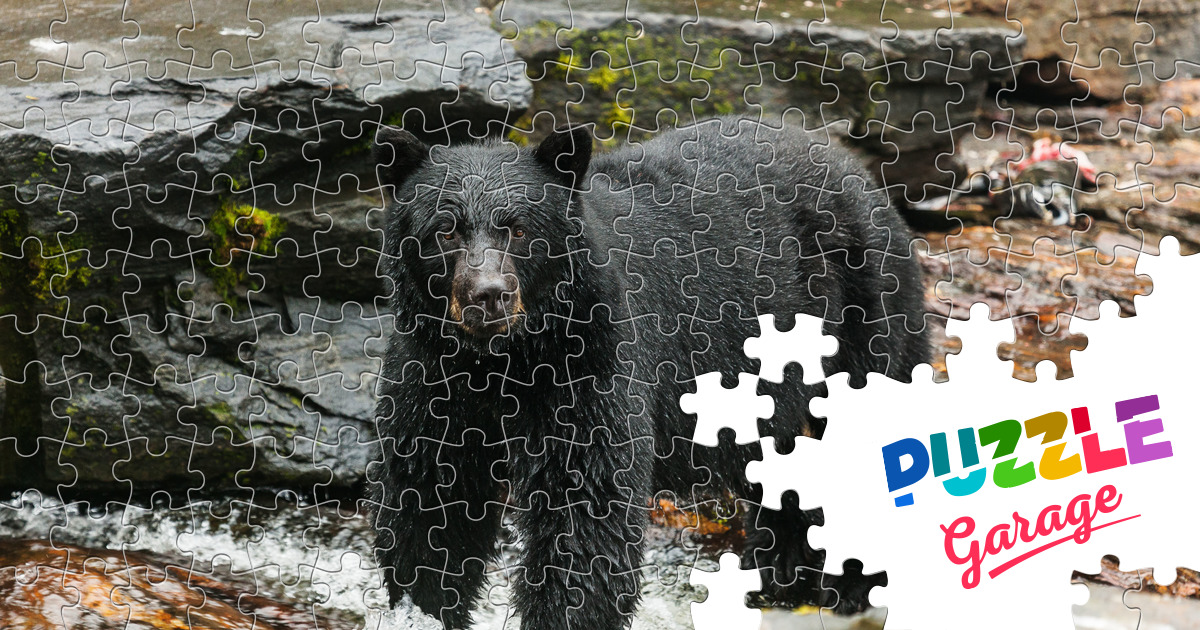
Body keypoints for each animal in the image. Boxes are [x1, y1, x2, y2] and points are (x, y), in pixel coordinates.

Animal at [369, 116, 929, 630]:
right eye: (445, 229)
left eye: (520, 228)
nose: (489, 295)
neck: (502, 360)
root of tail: (853, 167)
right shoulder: (432, 375)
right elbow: (432, 503)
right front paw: (422, 608)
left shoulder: (593, 358)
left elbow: (585, 512)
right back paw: (780, 577)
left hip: (867, 316)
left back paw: (851, 584)